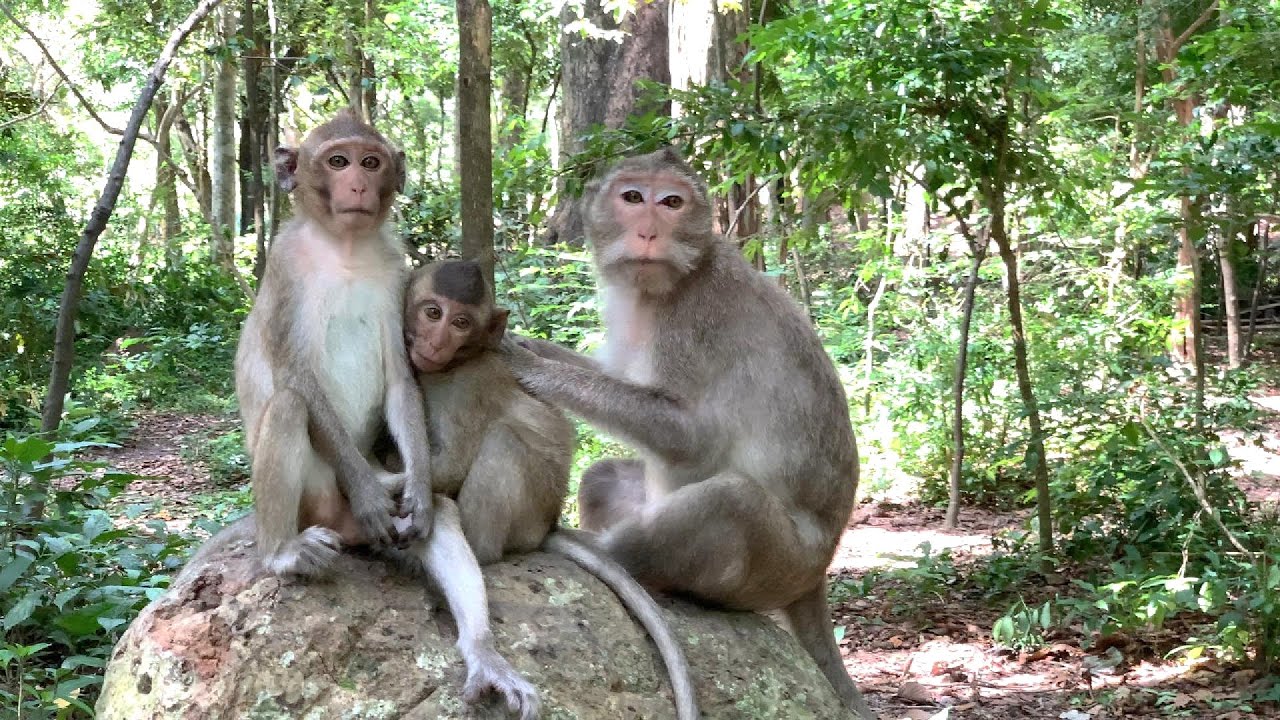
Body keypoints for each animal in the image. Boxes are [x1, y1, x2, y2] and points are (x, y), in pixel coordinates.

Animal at [231, 110, 538, 719]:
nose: (357, 185)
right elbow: (298, 380)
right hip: (316, 500)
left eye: (370, 162)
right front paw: (371, 497)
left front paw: (414, 491)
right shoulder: (283, 269)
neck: (346, 249)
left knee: (440, 515)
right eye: (338, 160)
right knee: (289, 407)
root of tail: (342, 528)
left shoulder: (397, 272)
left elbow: (401, 380)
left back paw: (482, 652)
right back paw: (282, 553)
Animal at [402, 260, 698, 720]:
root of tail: (548, 525)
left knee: (503, 442)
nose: (436, 340)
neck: (453, 366)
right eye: (433, 313)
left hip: (527, 515)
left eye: (461, 323)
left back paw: (477, 548)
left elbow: (450, 465)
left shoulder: (471, 386)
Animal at [500, 148, 878, 719]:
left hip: (777, 565)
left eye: (671, 202)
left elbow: (692, 436)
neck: (672, 280)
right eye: (634, 197)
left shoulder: (693, 321)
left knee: (730, 500)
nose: (649, 231)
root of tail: (818, 572)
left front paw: (529, 366)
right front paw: (523, 341)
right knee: (604, 476)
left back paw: (607, 554)